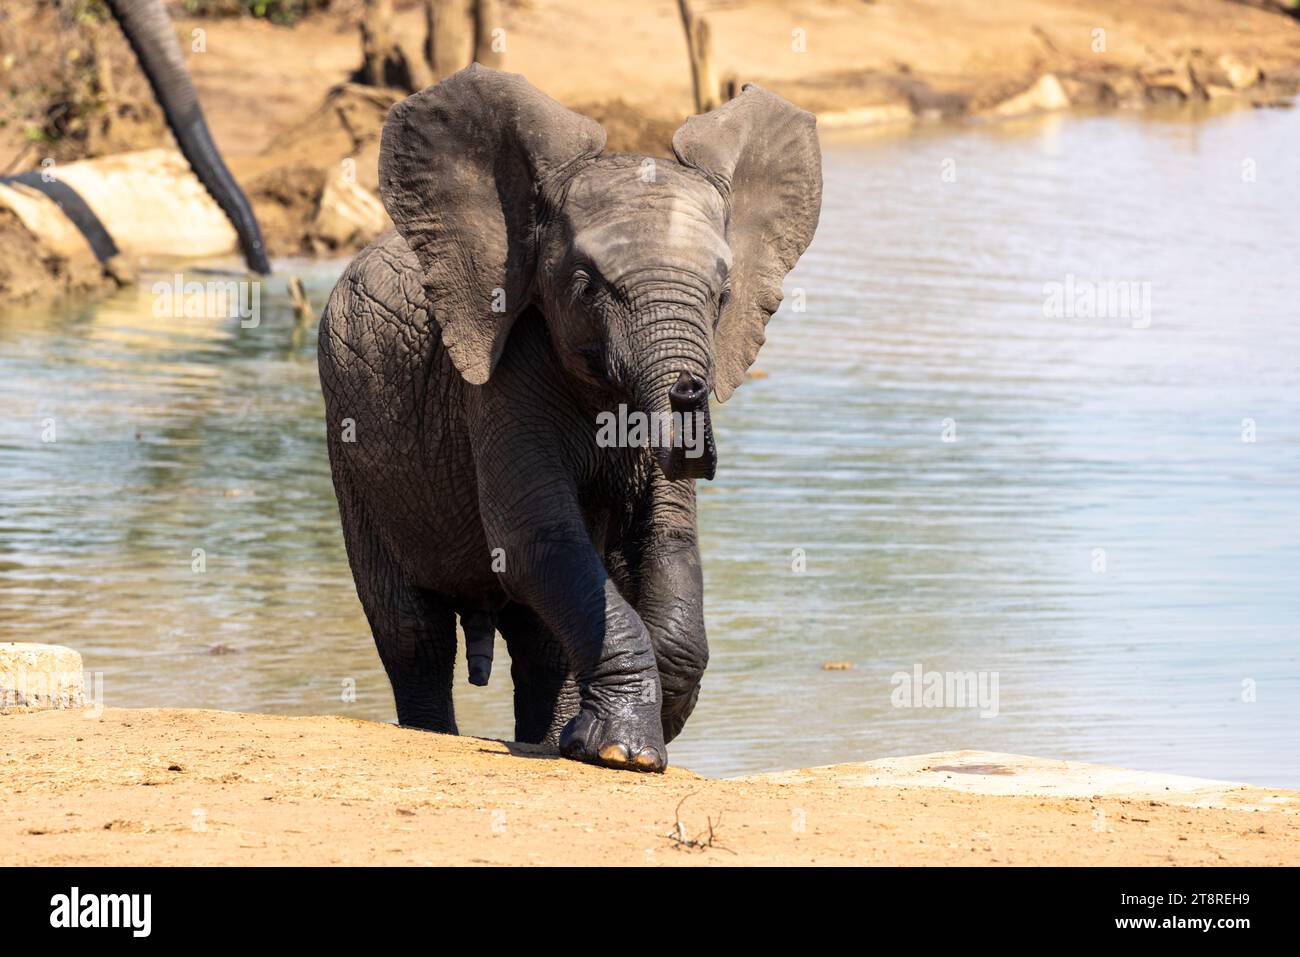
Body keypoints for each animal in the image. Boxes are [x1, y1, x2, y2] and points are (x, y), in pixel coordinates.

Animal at [318, 65, 821, 772]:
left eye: (723, 296)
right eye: (585, 286)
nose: (692, 388)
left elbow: (666, 537)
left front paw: (639, 727)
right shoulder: (498, 375)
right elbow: (537, 535)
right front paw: (624, 754)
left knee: (539, 643)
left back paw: (550, 742)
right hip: (352, 448)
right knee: (414, 632)